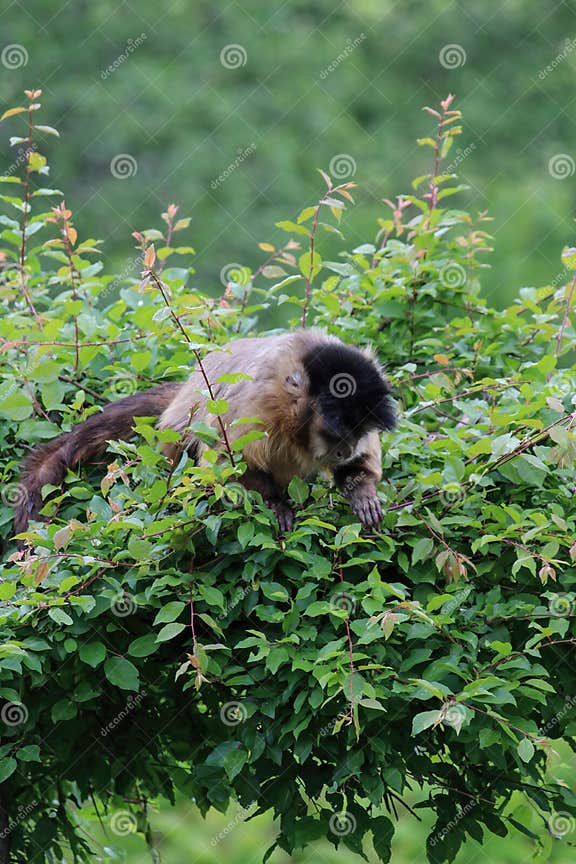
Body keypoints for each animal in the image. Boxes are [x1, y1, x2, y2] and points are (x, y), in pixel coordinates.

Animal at [13, 330, 396, 539]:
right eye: (335, 432)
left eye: (358, 433)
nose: (345, 450)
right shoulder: (261, 404)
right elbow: (227, 456)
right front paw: (275, 504)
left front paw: (361, 489)